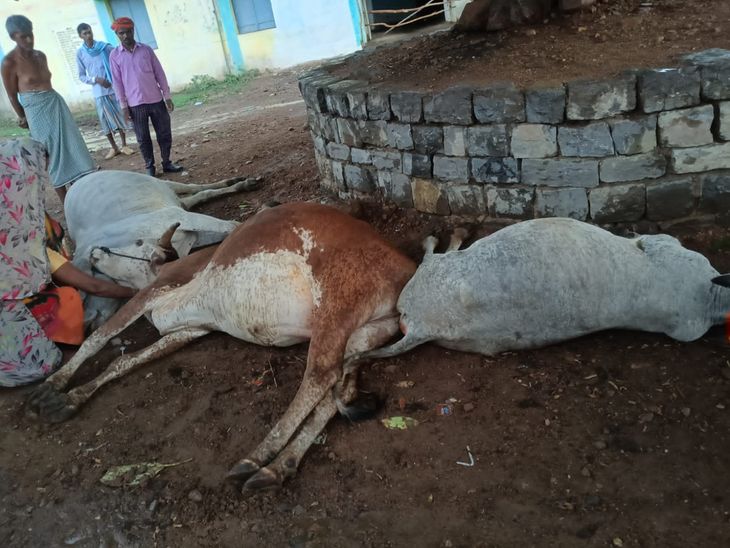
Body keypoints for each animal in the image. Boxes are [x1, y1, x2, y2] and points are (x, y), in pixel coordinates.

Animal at [29, 202, 417, 490]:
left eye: (138, 244)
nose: (98, 250)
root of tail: (406, 266)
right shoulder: (190, 330)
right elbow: (123, 362)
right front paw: (73, 397)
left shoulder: (155, 290)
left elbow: (97, 338)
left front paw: (53, 385)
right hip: (364, 334)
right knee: (339, 388)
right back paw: (279, 467)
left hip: (335, 305)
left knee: (320, 375)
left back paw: (259, 456)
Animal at [64, 170, 260, 329]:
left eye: (84, 296)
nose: (86, 325)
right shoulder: (191, 237)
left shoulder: (176, 217)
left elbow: (231, 226)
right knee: (194, 197)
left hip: (160, 183)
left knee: (194, 187)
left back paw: (239, 183)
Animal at [343, 217, 730, 368]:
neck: (708, 299)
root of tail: (421, 325)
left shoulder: (667, 247)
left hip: (435, 274)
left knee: (433, 256)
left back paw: (444, 238)